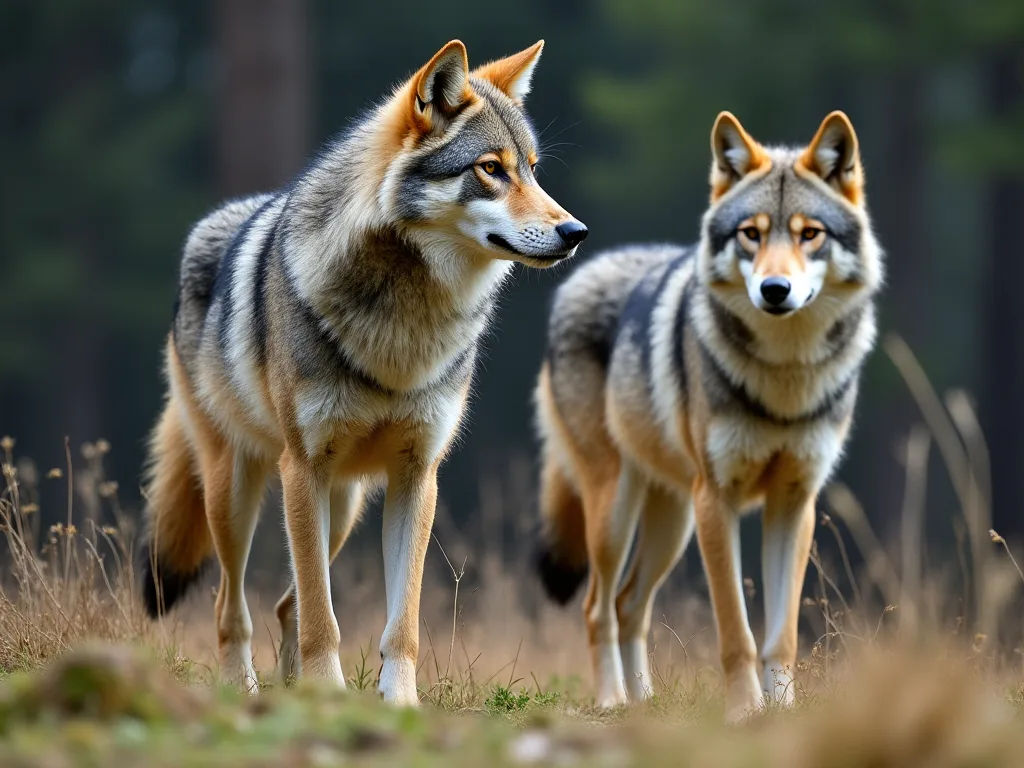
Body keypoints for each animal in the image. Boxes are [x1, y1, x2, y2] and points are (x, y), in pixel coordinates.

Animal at [138, 39, 587, 705]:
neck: (405, 321)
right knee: (233, 608)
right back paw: (248, 689)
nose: (575, 232)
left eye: (532, 168)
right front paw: (328, 693)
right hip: (238, 490)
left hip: (344, 504)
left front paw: (397, 702)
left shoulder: (417, 476)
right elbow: (324, 619)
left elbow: (402, 621)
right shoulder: (302, 468)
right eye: (490, 168)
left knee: (287, 605)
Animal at [533, 111, 881, 721]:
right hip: (618, 511)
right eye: (752, 234)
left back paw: (643, 702)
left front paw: (782, 711)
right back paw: (612, 703)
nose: (775, 289)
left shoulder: (795, 504)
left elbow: (781, 636)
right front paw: (745, 713)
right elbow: (736, 632)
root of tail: (583, 267)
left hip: (672, 522)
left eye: (809, 233)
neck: (784, 379)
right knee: (598, 607)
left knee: (629, 605)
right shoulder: (717, 501)